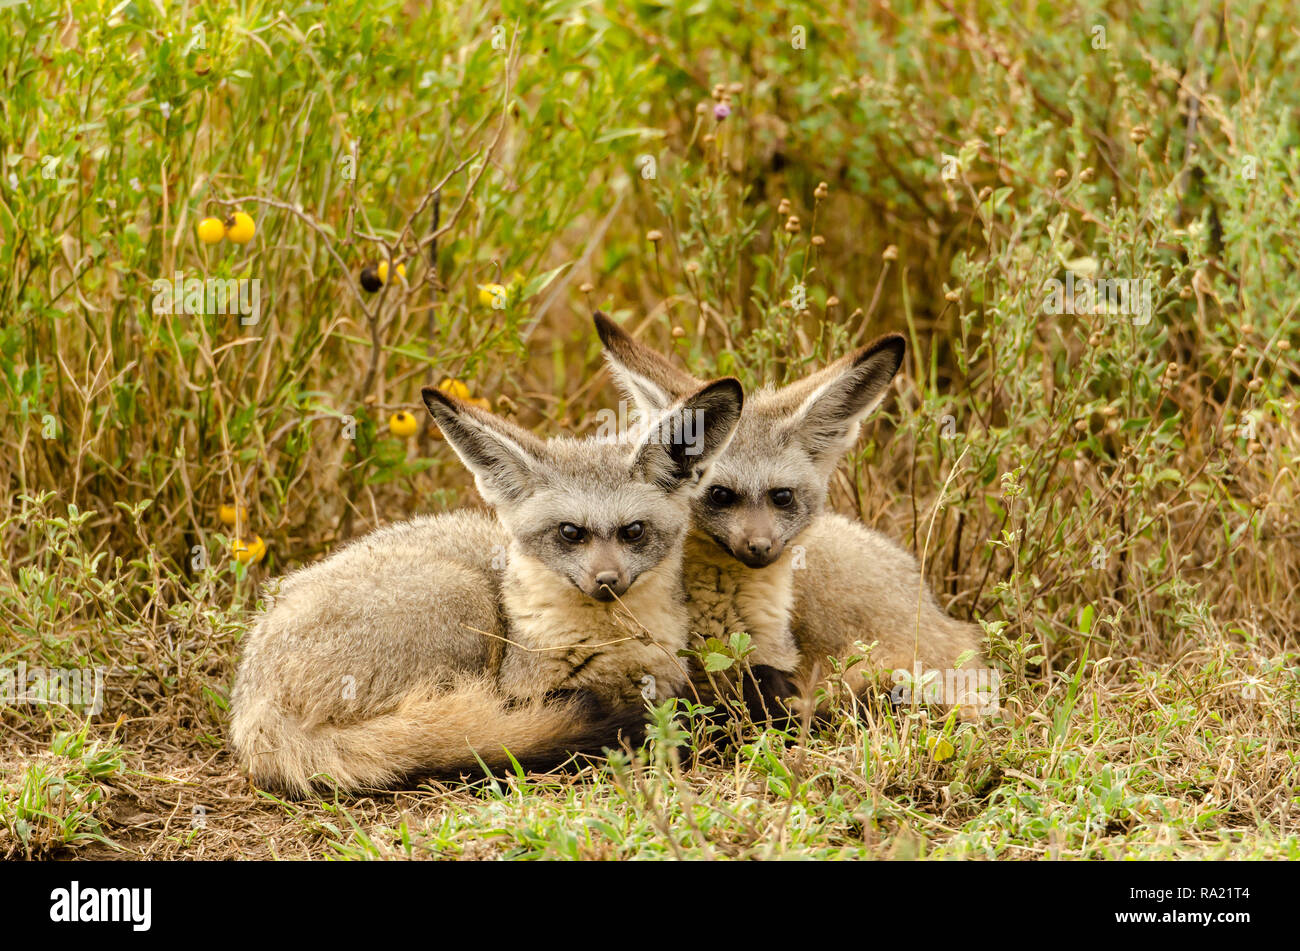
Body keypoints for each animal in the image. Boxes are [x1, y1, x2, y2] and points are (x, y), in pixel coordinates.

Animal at [229, 374, 744, 795]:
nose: (606, 582)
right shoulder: (523, 685)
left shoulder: (662, 678)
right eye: (570, 532)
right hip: (464, 598)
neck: (609, 644)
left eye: (633, 531)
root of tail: (253, 702)